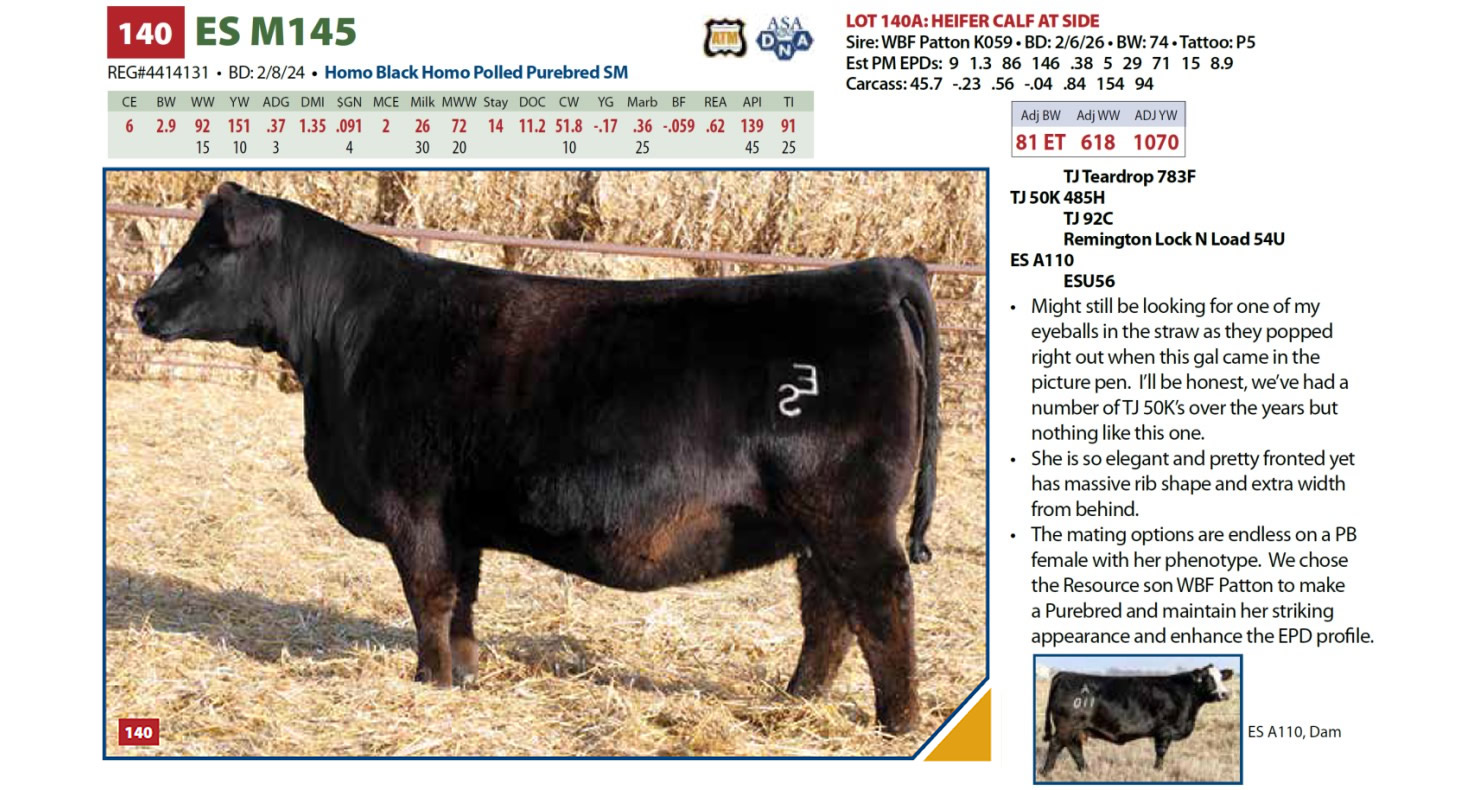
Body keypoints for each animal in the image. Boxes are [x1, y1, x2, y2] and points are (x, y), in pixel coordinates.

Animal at [130, 183, 942, 734]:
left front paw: (428, 682)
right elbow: (461, 600)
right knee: (828, 610)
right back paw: (798, 700)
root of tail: (875, 271)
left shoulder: (412, 507)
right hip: (816, 525)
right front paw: (462, 674)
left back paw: (896, 719)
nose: (141, 307)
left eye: (209, 251)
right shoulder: (458, 517)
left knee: (881, 601)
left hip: (848, 514)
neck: (343, 338)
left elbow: (428, 597)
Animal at [1040, 665, 1234, 774]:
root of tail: (1064, 674)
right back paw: (1046, 772)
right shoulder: (1164, 731)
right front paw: (1158, 771)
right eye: (1209, 679)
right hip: (1066, 726)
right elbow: (1161, 752)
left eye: (1221, 678)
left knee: (1074, 748)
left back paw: (1085, 770)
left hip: (1076, 729)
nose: (1225, 694)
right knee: (1056, 745)